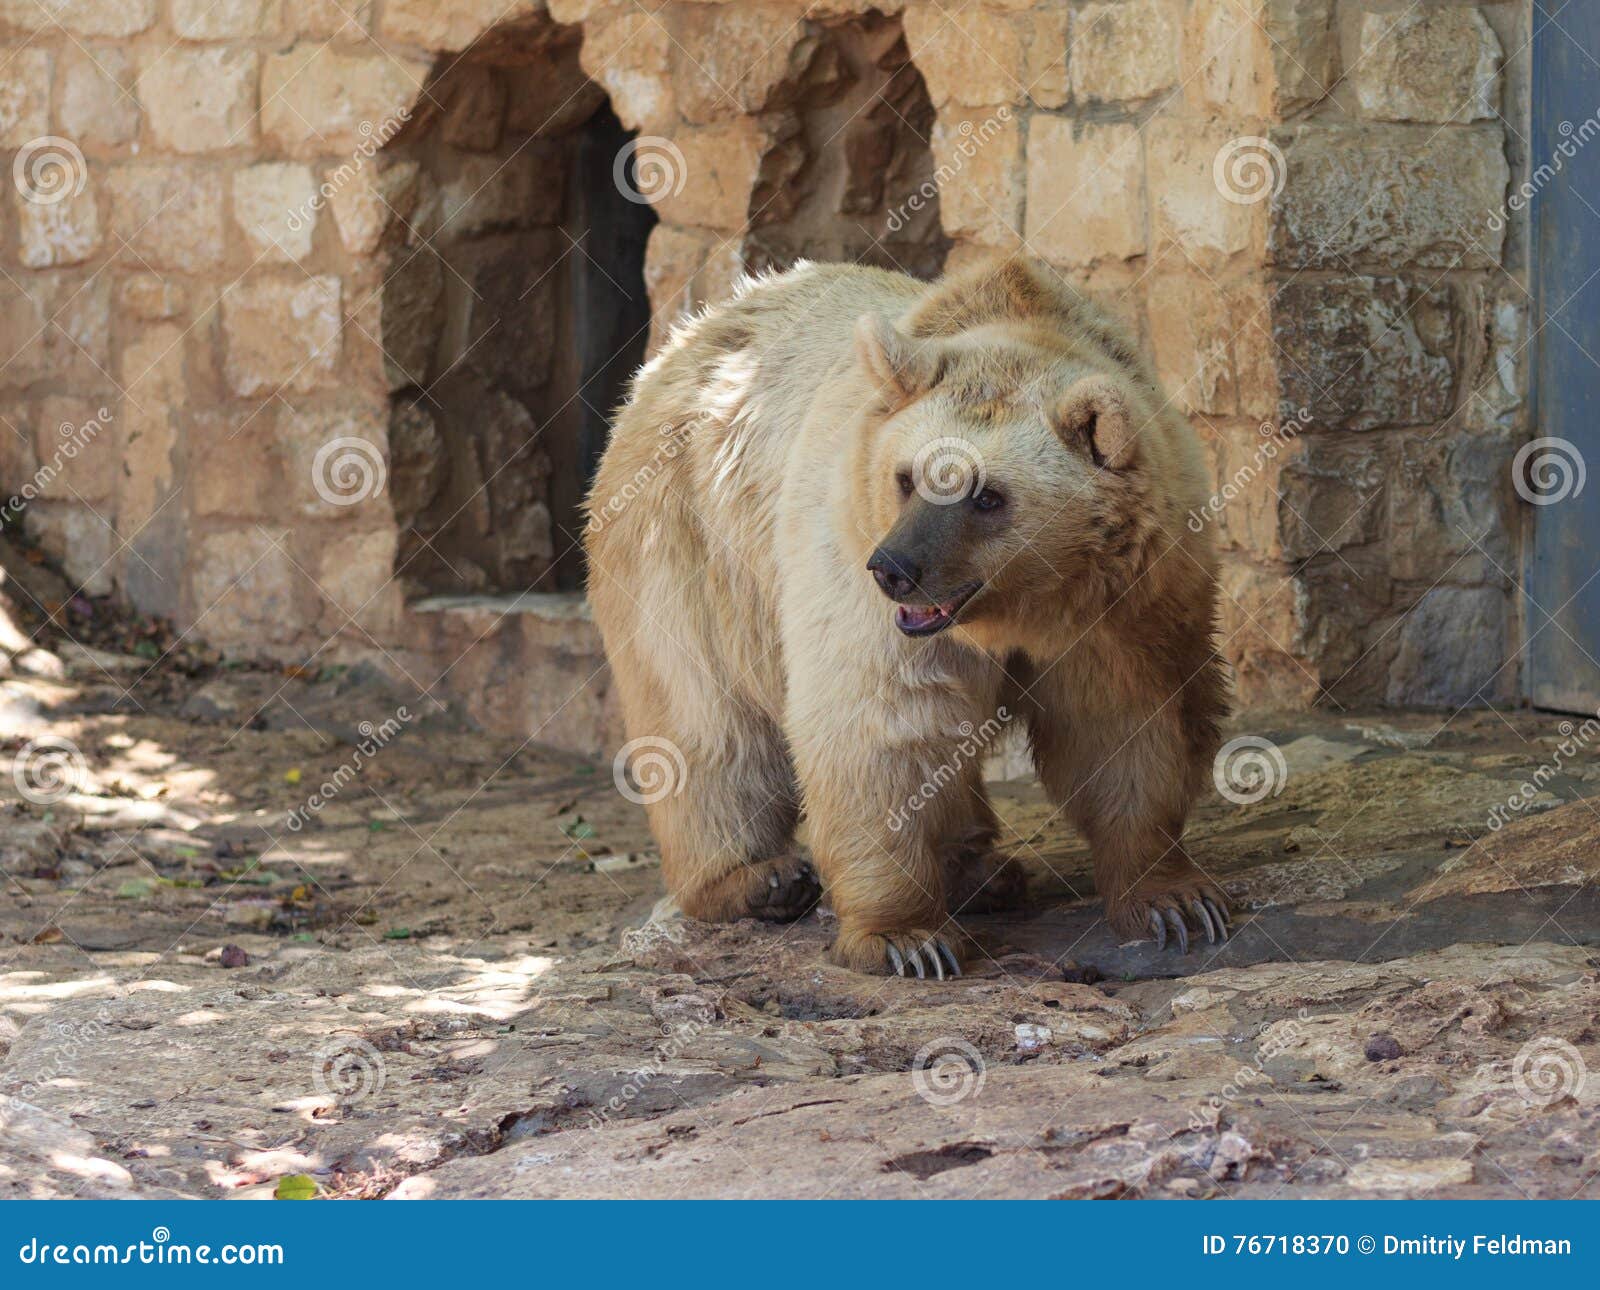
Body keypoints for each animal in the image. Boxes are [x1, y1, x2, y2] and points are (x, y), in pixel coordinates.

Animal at [584, 255, 1229, 978]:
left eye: (987, 495)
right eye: (907, 477)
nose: (895, 569)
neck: (1032, 604)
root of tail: (680, 342)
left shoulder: (1130, 599)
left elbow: (1126, 718)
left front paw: (1175, 901)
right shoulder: (852, 556)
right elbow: (879, 722)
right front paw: (906, 938)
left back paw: (980, 869)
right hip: (688, 546)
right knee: (708, 725)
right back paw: (762, 877)